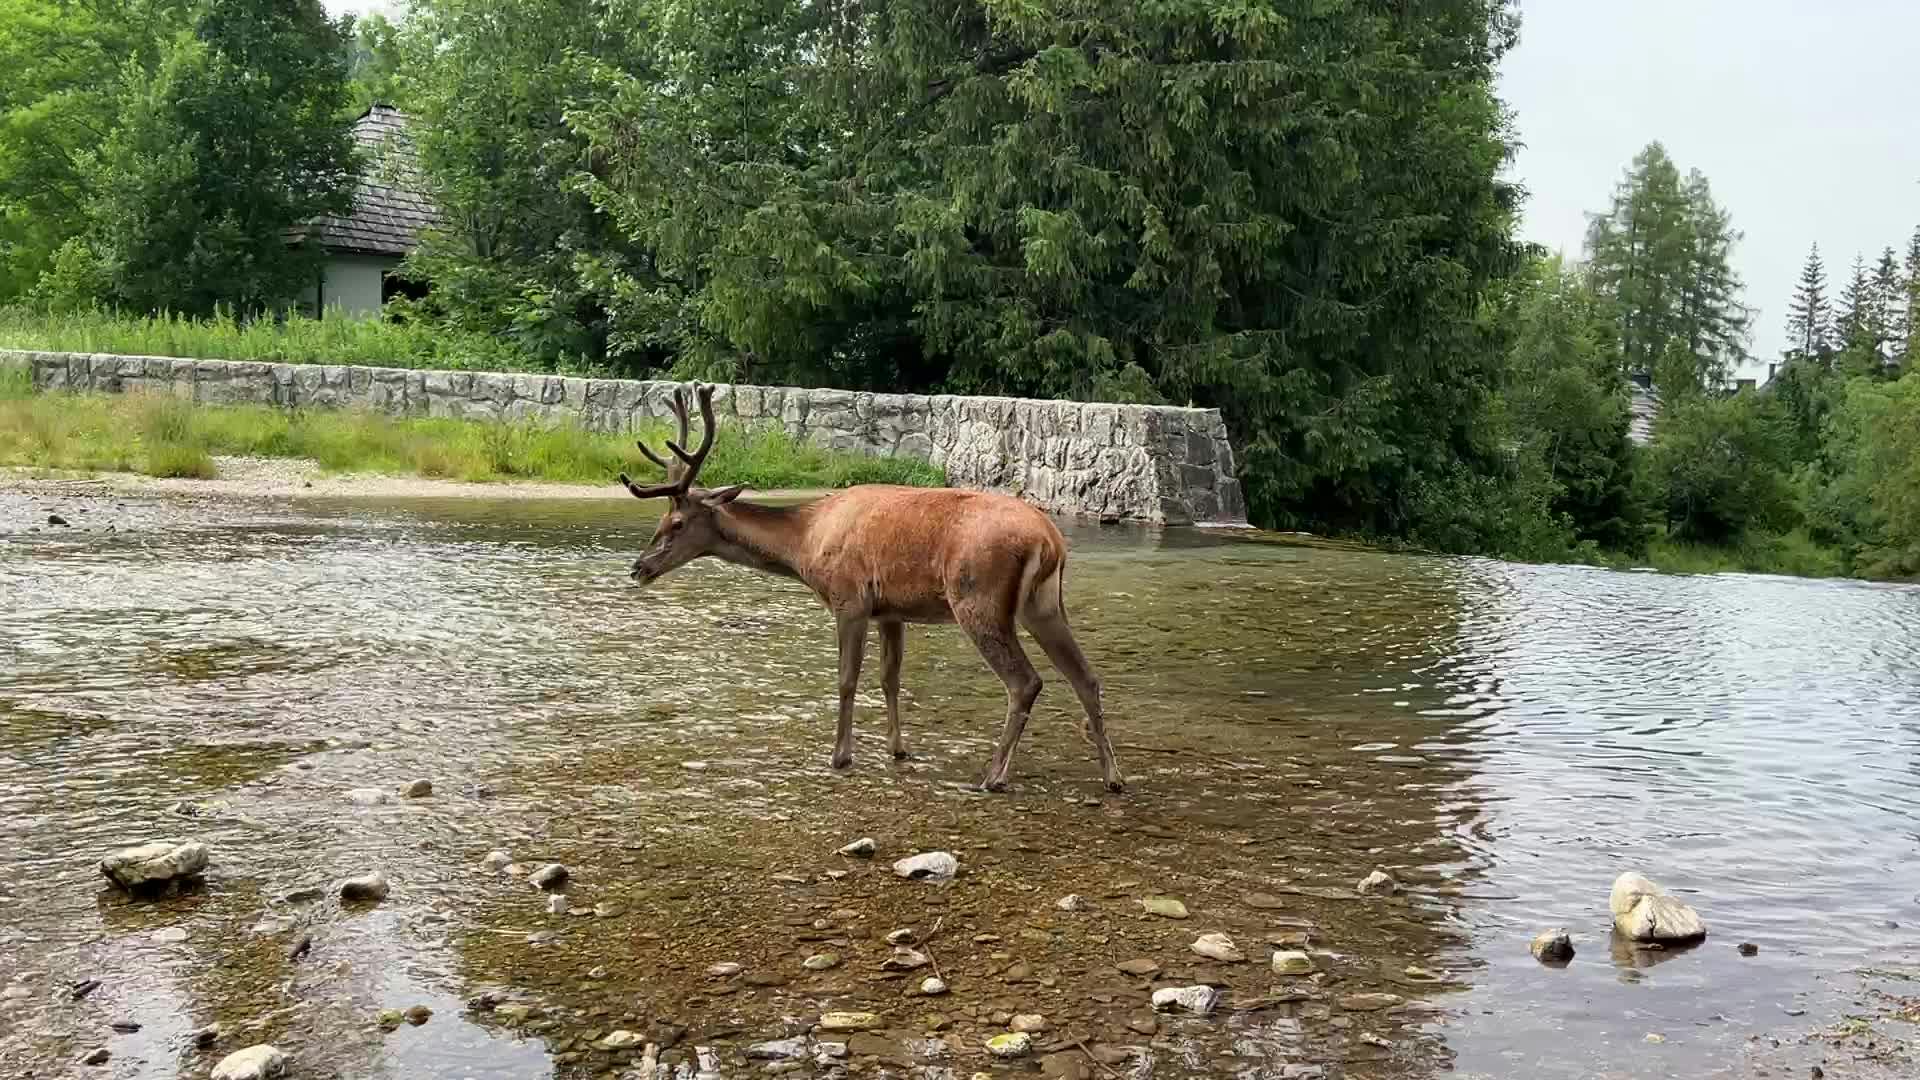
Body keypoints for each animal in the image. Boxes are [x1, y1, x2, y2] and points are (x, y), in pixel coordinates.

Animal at [616, 382, 1124, 794]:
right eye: (661, 520)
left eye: (676, 523)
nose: (638, 568)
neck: (805, 545)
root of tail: (1050, 539)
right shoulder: (891, 611)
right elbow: (889, 678)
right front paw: (898, 749)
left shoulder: (850, 599)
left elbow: (846, 679)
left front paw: (840, 756)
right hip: (1044, 604)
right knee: (1086, 676)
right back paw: (1113, 777)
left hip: (977, 597)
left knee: (1026, 681)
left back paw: (994, 775)